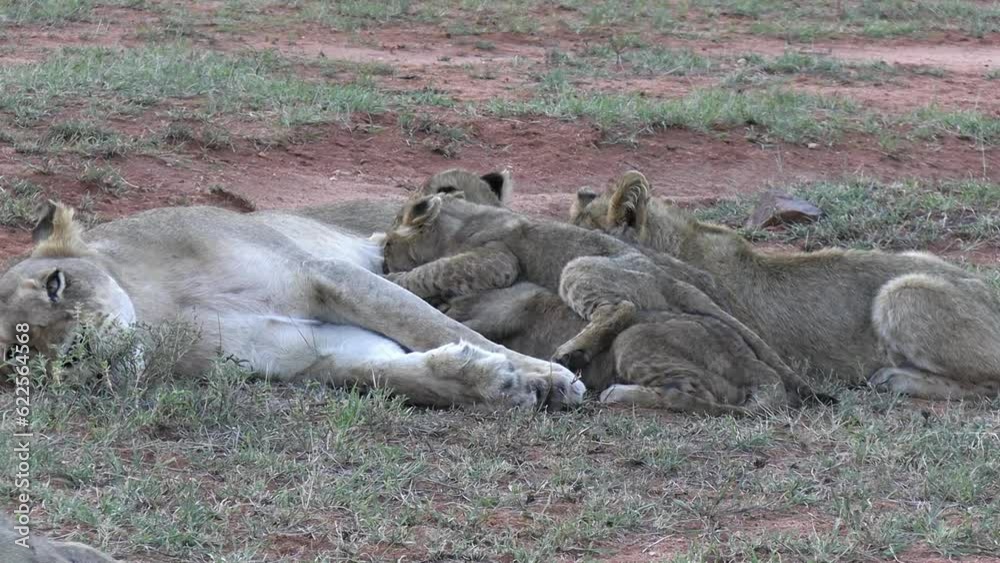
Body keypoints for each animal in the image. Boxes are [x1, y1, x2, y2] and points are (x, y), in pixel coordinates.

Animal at [0, 201, 585, 411]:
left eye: (56, 284)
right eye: (16, 356)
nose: (76, 356)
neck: (161, 315)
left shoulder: (326, 276)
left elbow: (427, 324)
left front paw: (549, 376)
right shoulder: (304, 352)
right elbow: (388, 375)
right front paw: (497, 383)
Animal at [381, 182, 828, 412]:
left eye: (388, 244)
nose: (383, 256)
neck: (461, 221)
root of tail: (675, 280)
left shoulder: (498, 259)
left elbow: (438, 271)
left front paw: (401, 278)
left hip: (584, 270)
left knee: (624, 310)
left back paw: (579, 358)